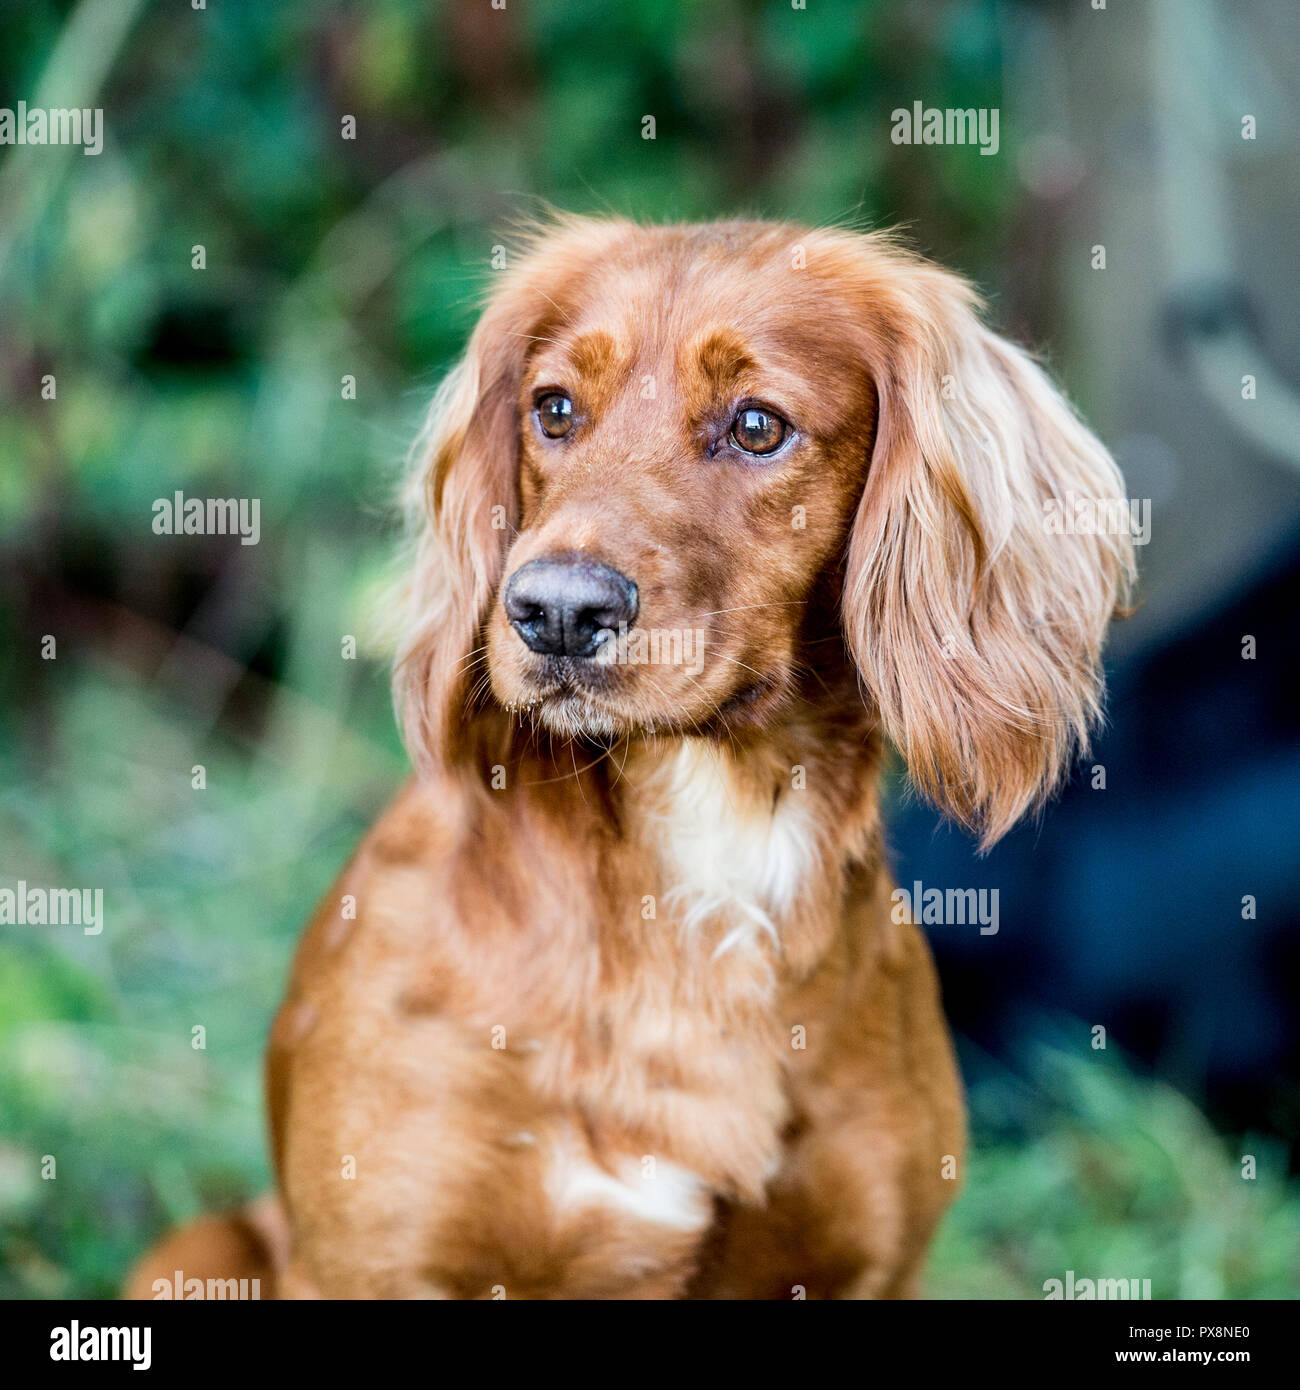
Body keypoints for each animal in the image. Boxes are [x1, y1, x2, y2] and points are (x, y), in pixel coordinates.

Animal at [127, 216, 1134, 1301]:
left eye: (757, 426)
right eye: (554, 409)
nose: (556, 611)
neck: (711, 846)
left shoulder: (868, 1268)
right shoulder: (370, 1261)